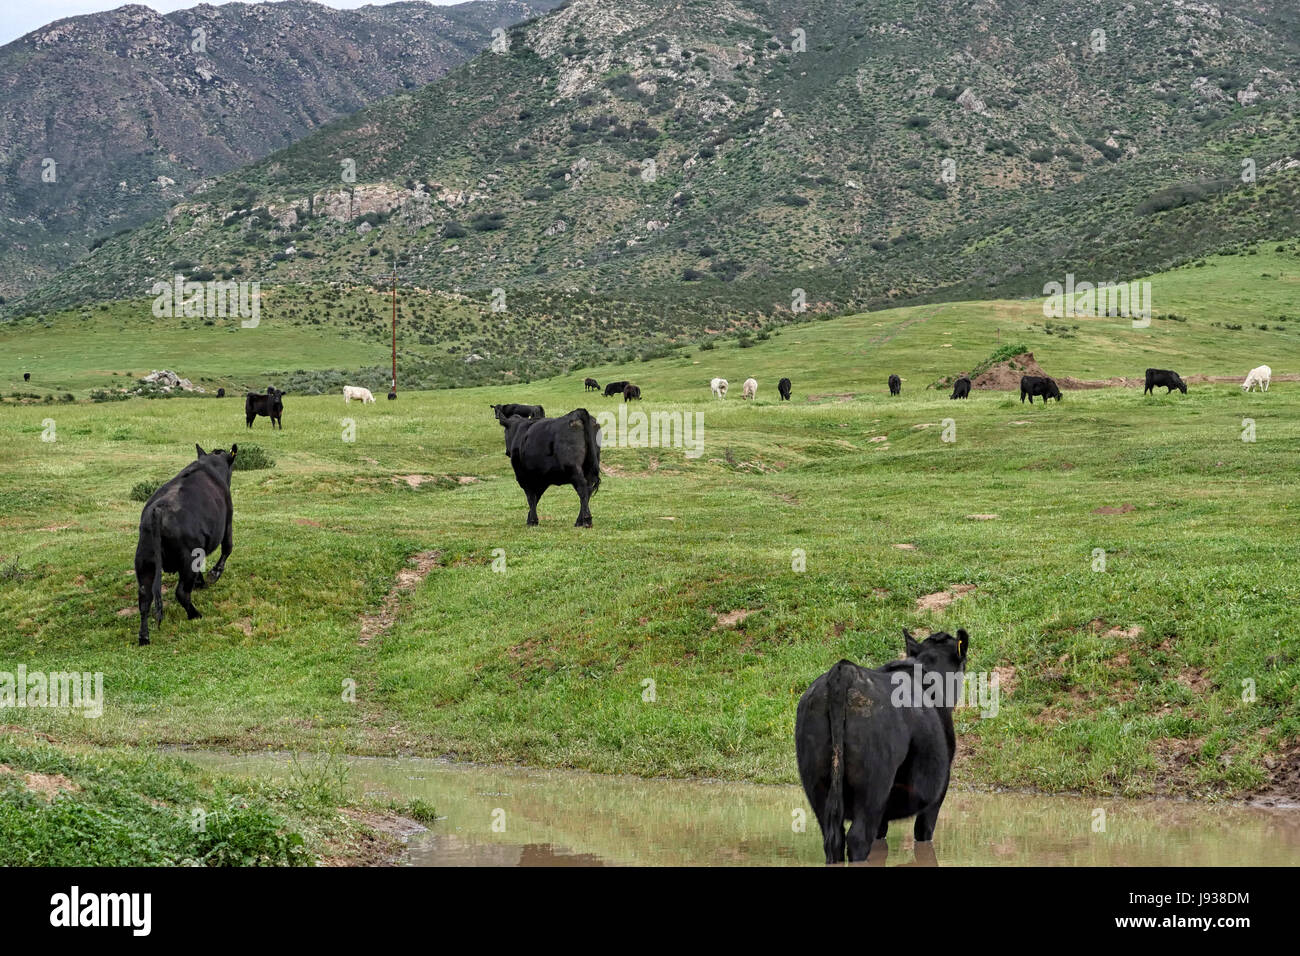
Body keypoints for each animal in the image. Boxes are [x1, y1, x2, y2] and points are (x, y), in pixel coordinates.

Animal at [134, 444, 238, 646]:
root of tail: (158, 510)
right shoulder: (228, 519)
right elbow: (228, 547)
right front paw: (213, 574)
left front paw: (201, 581)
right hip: (188, 557)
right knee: (181, 592)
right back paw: (195, 614)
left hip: (144, 560)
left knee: (144, 599)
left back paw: (144, 637)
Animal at [795, 628, 969, 864]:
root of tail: (844, 670)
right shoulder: (937, 795)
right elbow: (923, 834)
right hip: (874, 784)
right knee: (858, 838)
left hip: (817, 784)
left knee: (833, 838)